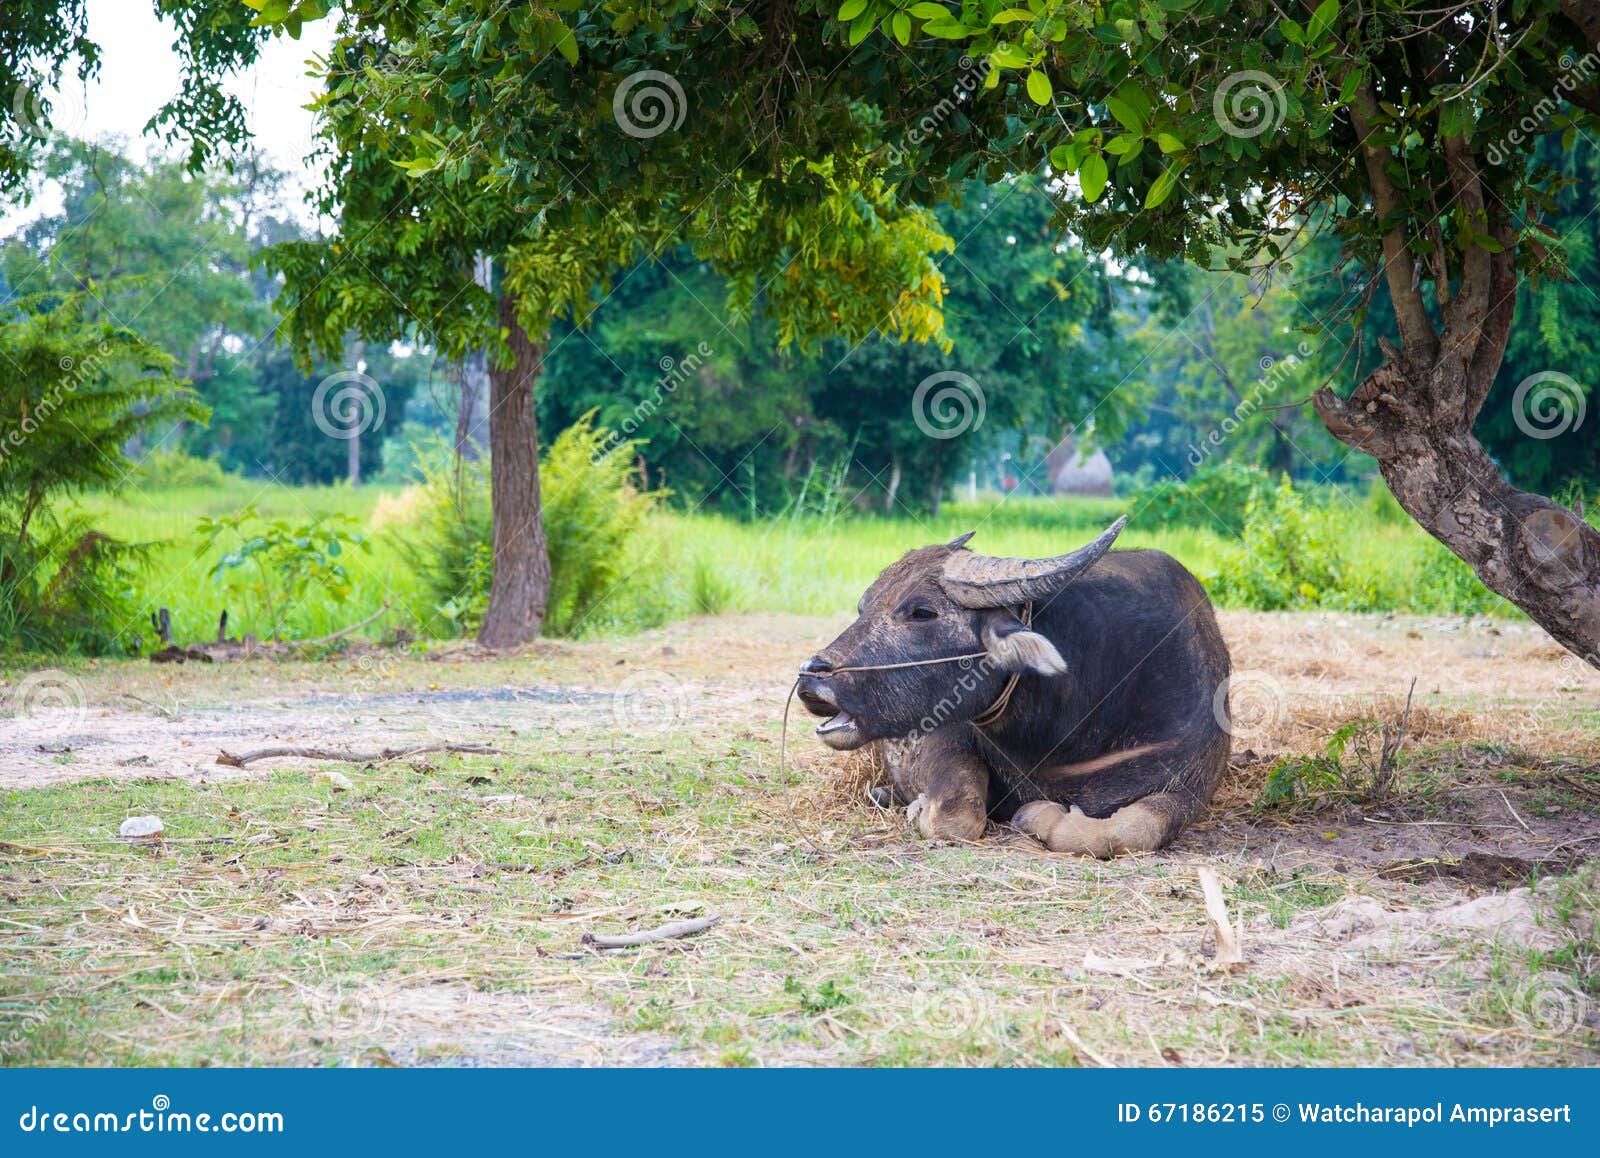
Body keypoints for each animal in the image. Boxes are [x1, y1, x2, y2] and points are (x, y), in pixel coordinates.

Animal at [796, 517, 1231, 857]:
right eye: (863, 608)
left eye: (922, 612)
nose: (811, 675)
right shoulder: (945, 732)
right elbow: (956, 815)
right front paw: (918, 805)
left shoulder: (1192, 781)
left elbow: (1133, 829)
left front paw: (1038, 815)